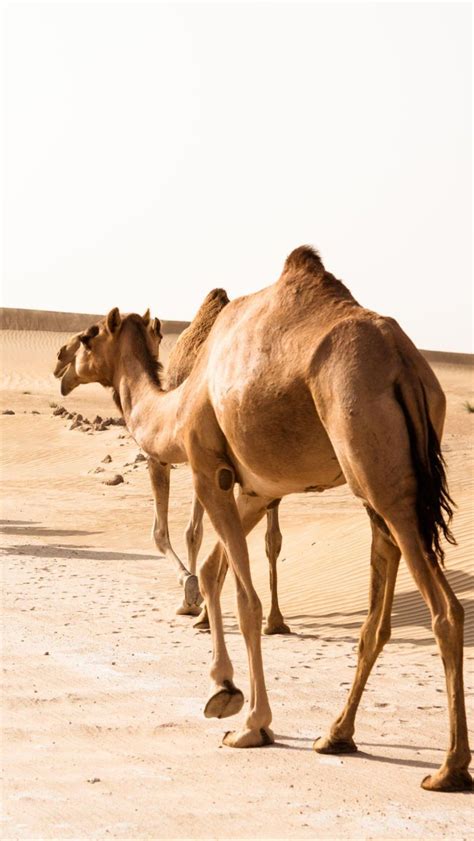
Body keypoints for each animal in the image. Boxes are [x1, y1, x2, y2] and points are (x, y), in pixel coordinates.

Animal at [56, 246, 471, 792]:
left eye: (88, 335)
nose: (59, 363)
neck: (180, 402)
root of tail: (406, 365)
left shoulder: (208, 469)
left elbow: (245, 599)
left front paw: (252, 723)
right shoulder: (255, 490)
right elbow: (213, 571)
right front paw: (222, 688)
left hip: (381, 474)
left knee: (446, 610)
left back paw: (449, 767)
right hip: (383, 477)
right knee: (376, 617)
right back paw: (335, 734)